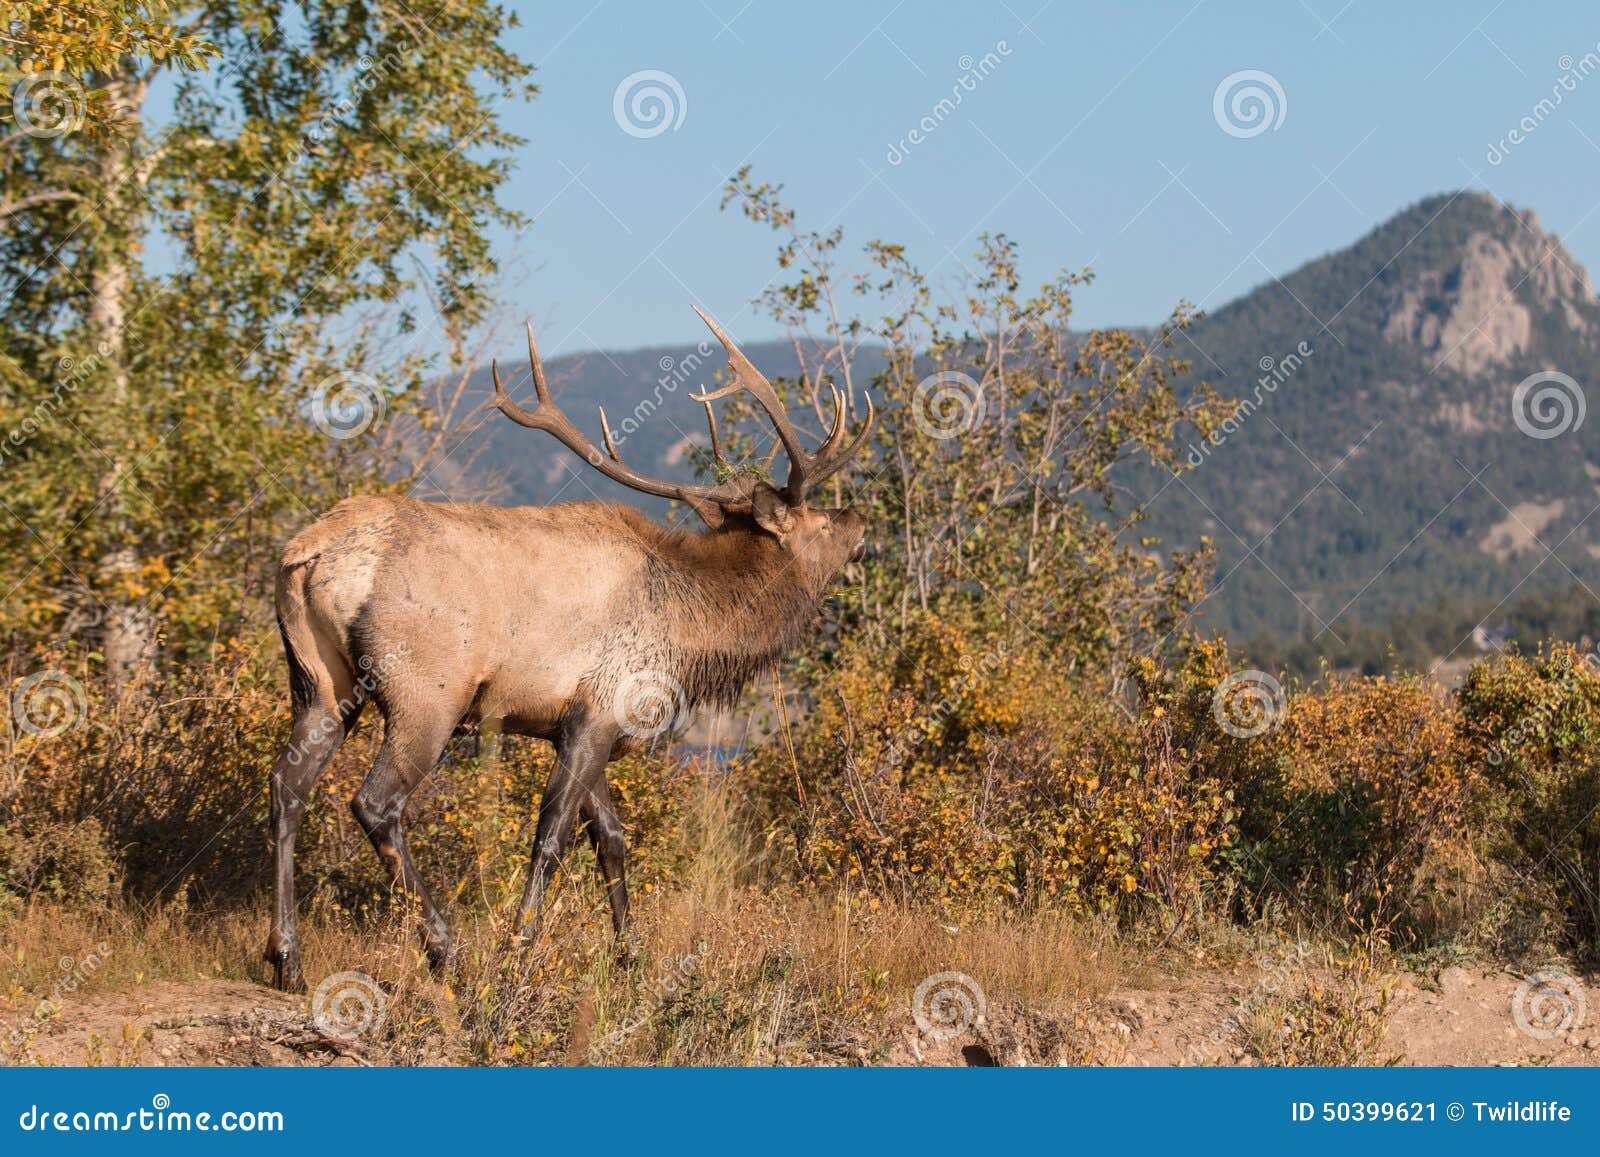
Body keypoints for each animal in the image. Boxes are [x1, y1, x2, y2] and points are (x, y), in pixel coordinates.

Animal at [264, 306, 872, 992]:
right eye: (821, 520)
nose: (859, 521)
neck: (697, 630)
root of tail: (309, 554)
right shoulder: (602, 708)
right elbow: (551, 837)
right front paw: (518, 953)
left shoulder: (578, 721)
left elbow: (610, 836)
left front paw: (631, 956)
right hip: (427, 692)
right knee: (374, 803)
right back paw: (446, 951)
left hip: (322, 685)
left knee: (286, 785)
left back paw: (287, 960)